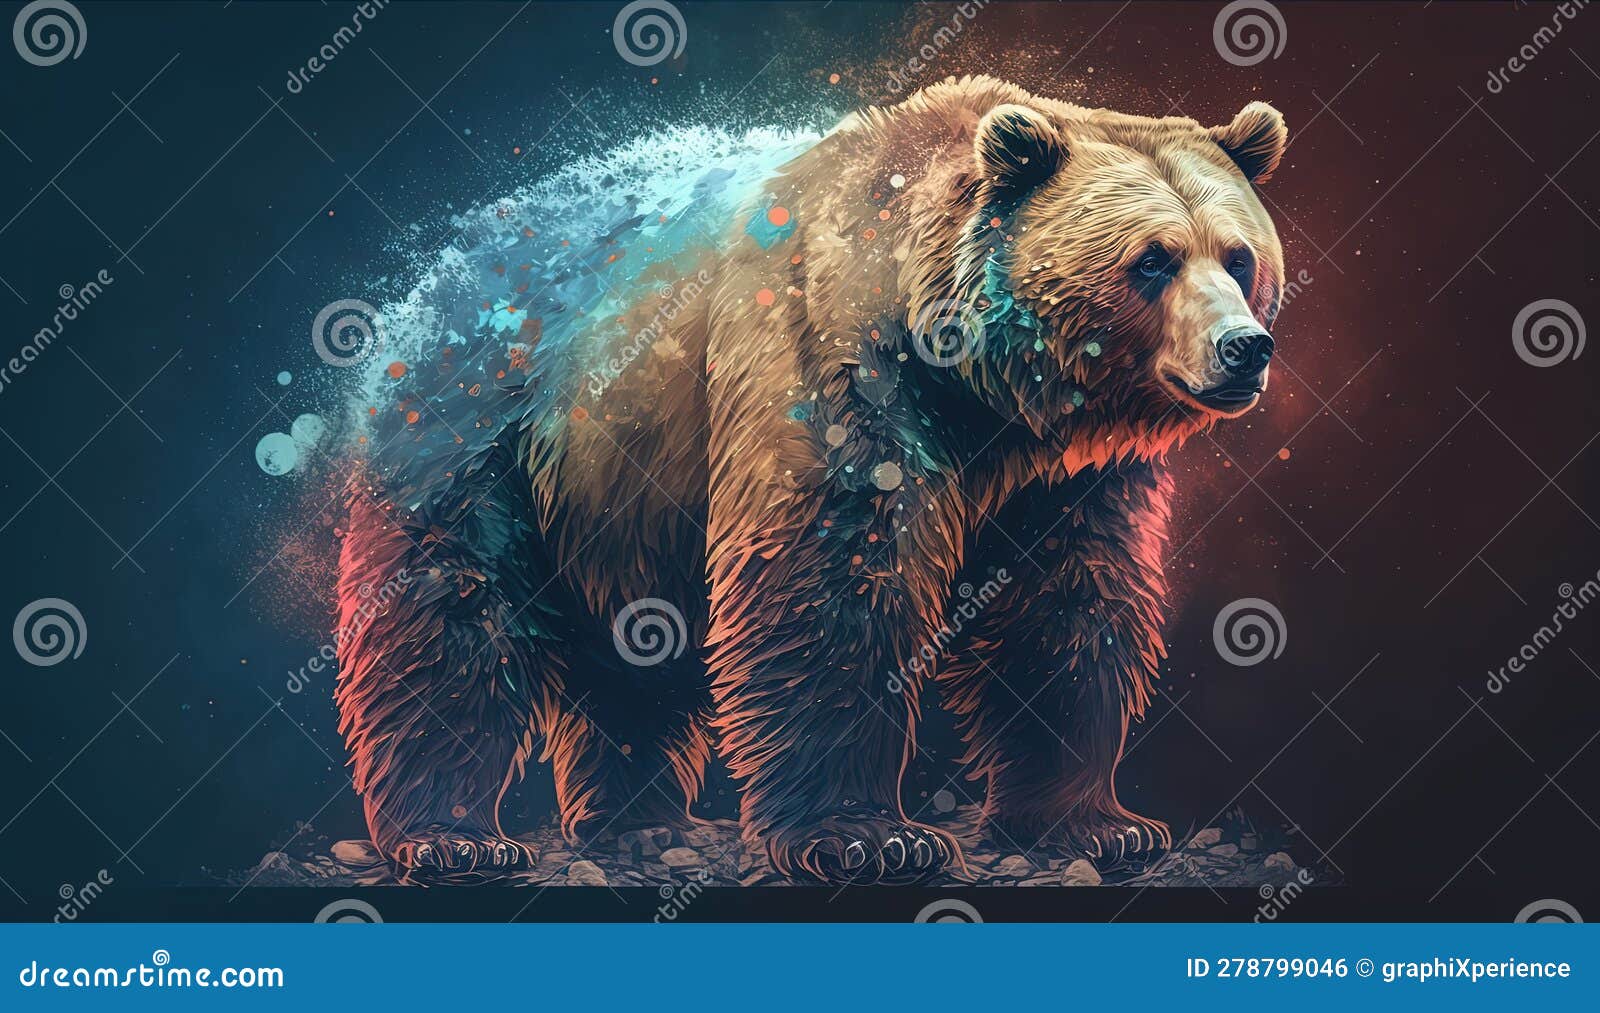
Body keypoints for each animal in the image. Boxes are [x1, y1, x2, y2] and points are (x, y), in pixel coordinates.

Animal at [333, 74, 1288, 883]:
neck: (980, 389)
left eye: (1238, 256)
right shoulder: (830, 360)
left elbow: (1067, 601)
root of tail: (442, 272)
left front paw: (1100, 822)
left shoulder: (1069, 474)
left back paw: (640, 820)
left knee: (634, 644)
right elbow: (832, 579)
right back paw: (454, 835)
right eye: (1154, 259)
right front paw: (873, 834)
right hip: (484, 429)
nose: (1244, 347)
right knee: (453, 612)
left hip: (616, 495)